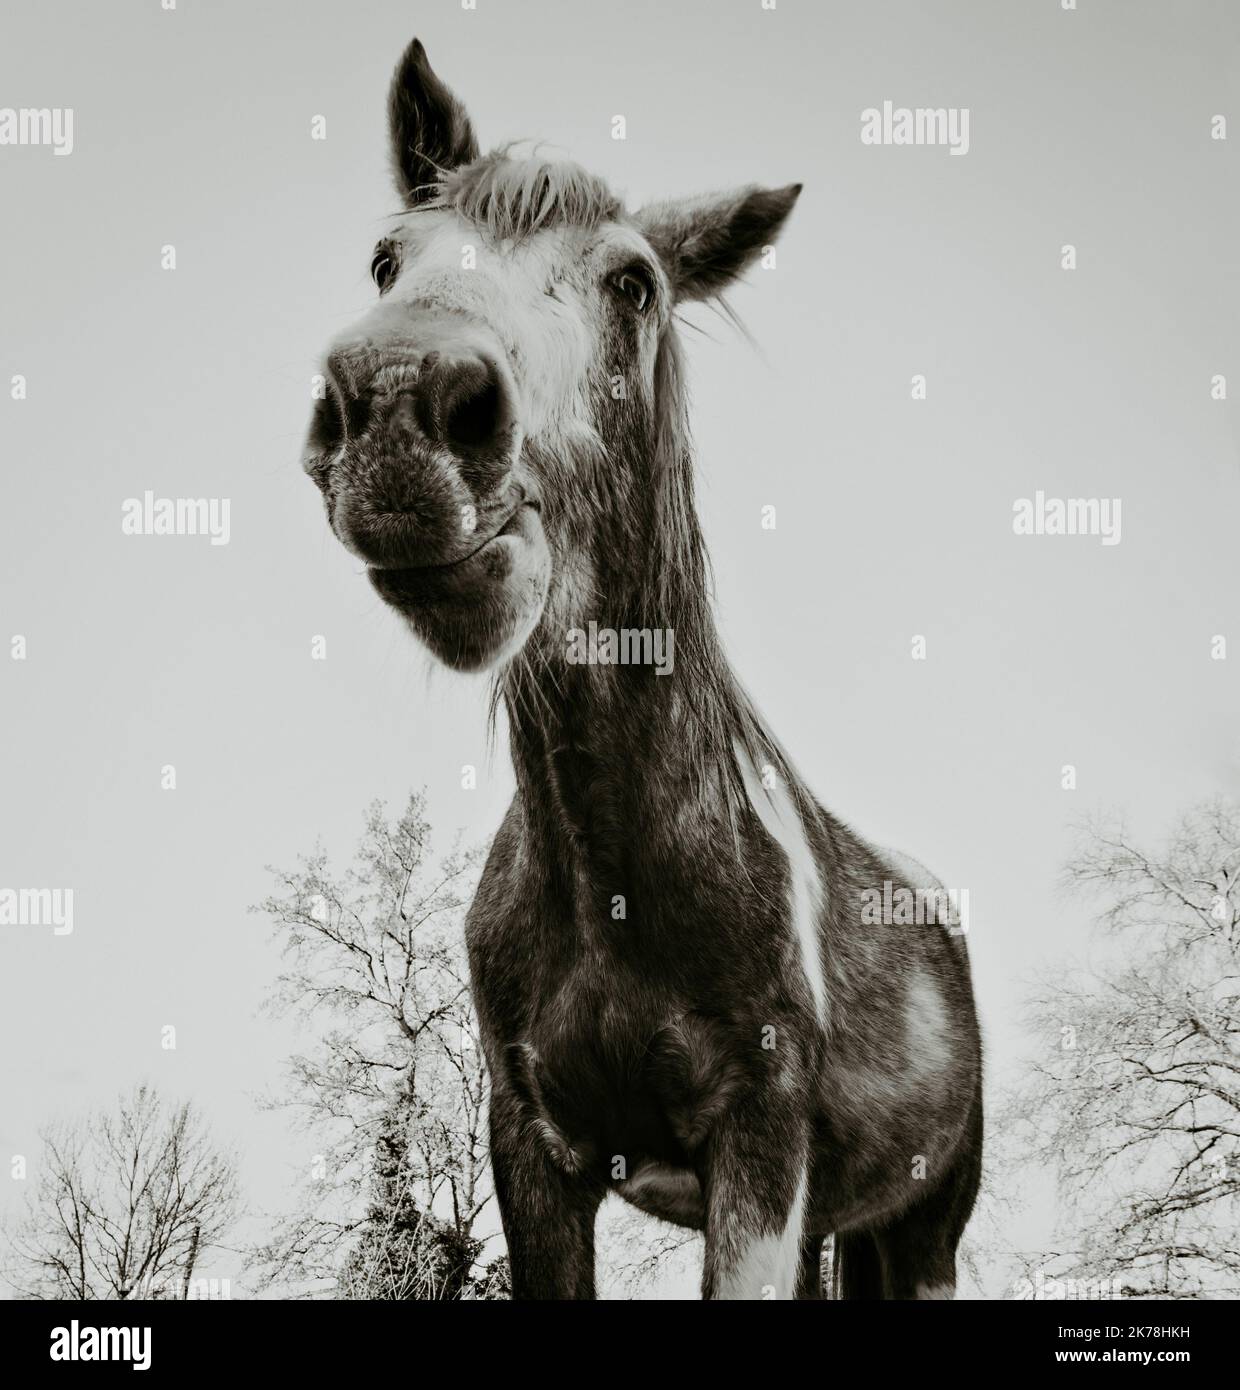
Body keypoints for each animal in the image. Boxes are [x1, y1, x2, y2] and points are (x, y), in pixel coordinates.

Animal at [302, 37, 983, 1300]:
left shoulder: (759, 1149)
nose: (401, 411)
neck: (616, 866)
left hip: (924, 1228)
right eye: (385, 259)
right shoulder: (532, 1148)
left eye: (633, 285)